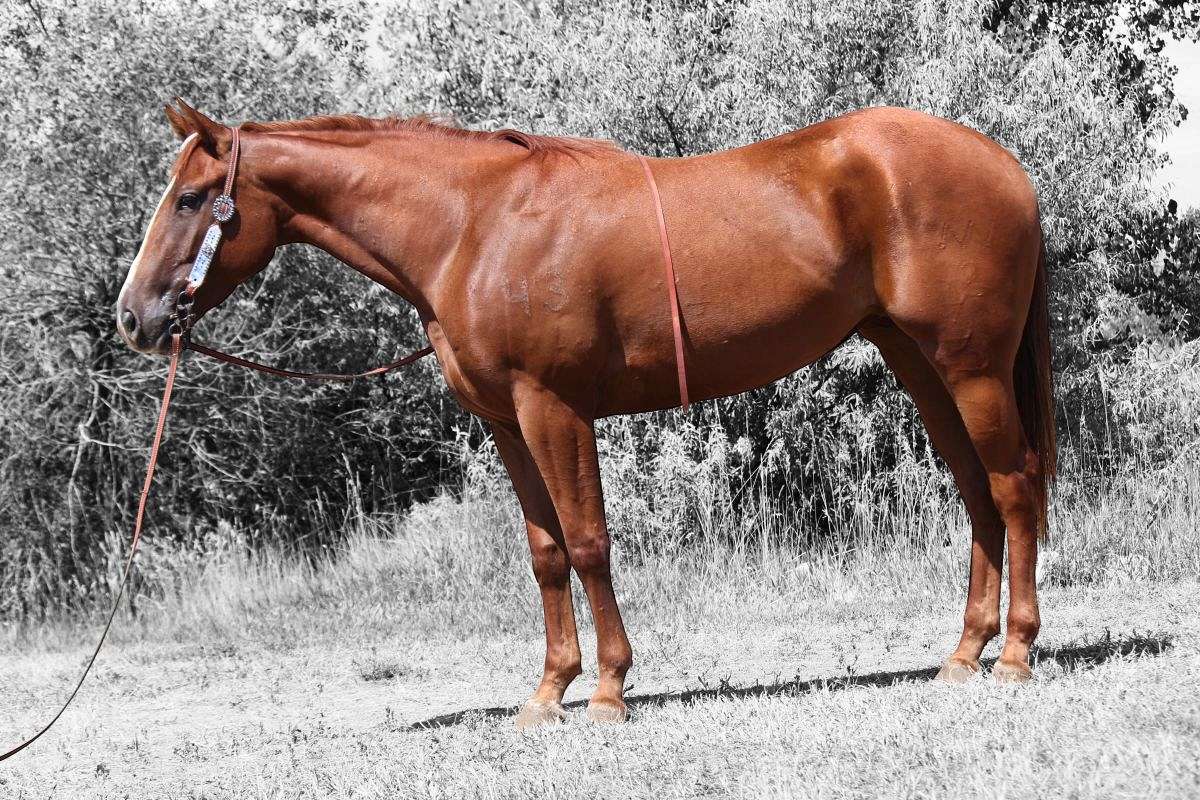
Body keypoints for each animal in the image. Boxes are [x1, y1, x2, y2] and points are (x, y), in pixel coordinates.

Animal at [117, 99, 1055, 727]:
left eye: (192, 199)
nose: (133, 318)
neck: (473, 226)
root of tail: (1003, 165)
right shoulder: (506, 421)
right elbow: (545, 553)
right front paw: (547, 692)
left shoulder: (553, 407)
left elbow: (589, 541)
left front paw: (606, 690)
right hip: (917, 361)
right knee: (977, 492)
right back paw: (963, 654)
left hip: (969, 367)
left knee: (1013, 487)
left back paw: (1014, 653)